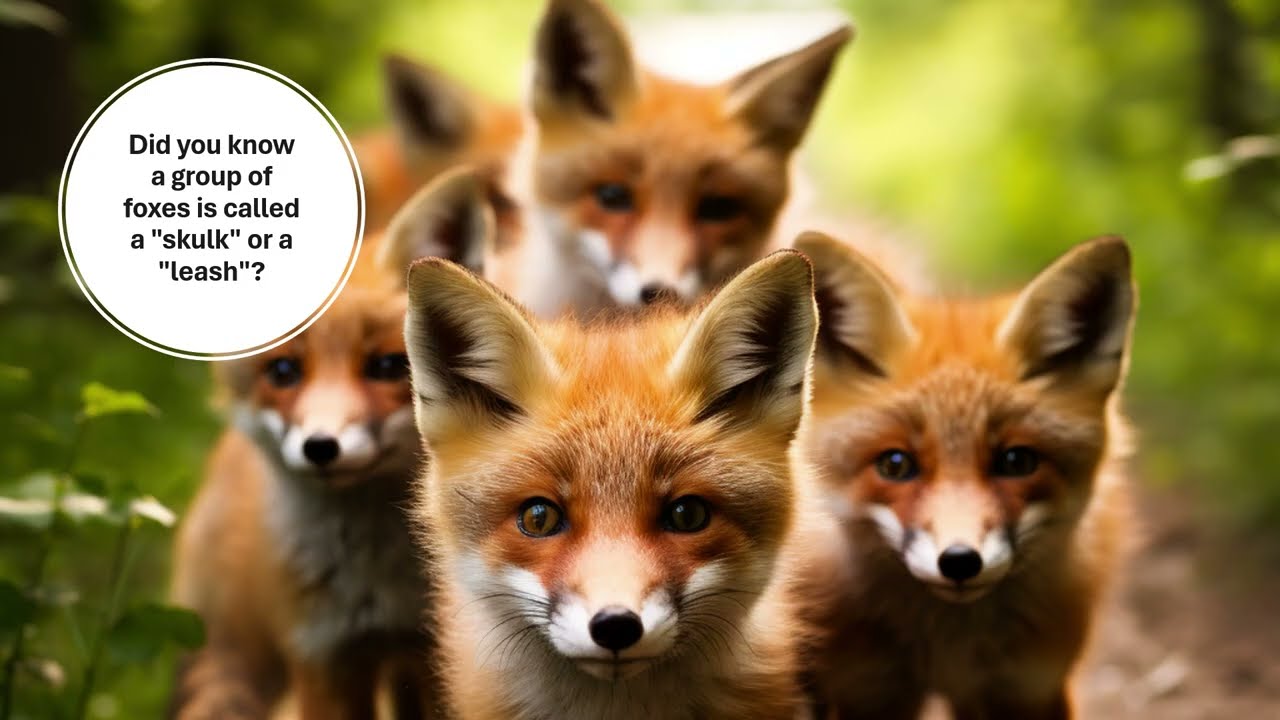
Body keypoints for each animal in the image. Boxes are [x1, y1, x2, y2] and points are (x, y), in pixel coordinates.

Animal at [169, 169, 495, 720]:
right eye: (283, 372)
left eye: (386, 366)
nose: (321, 447)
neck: (381, 583)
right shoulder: (324, 656)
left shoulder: (437, 656)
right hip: (233, 665)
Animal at [790, 232, 1137, 720]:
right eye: (895, 465)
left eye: (1017, 462)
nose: (958, 561)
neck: (947, 647)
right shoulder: (870, 688)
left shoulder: (1029, 688)